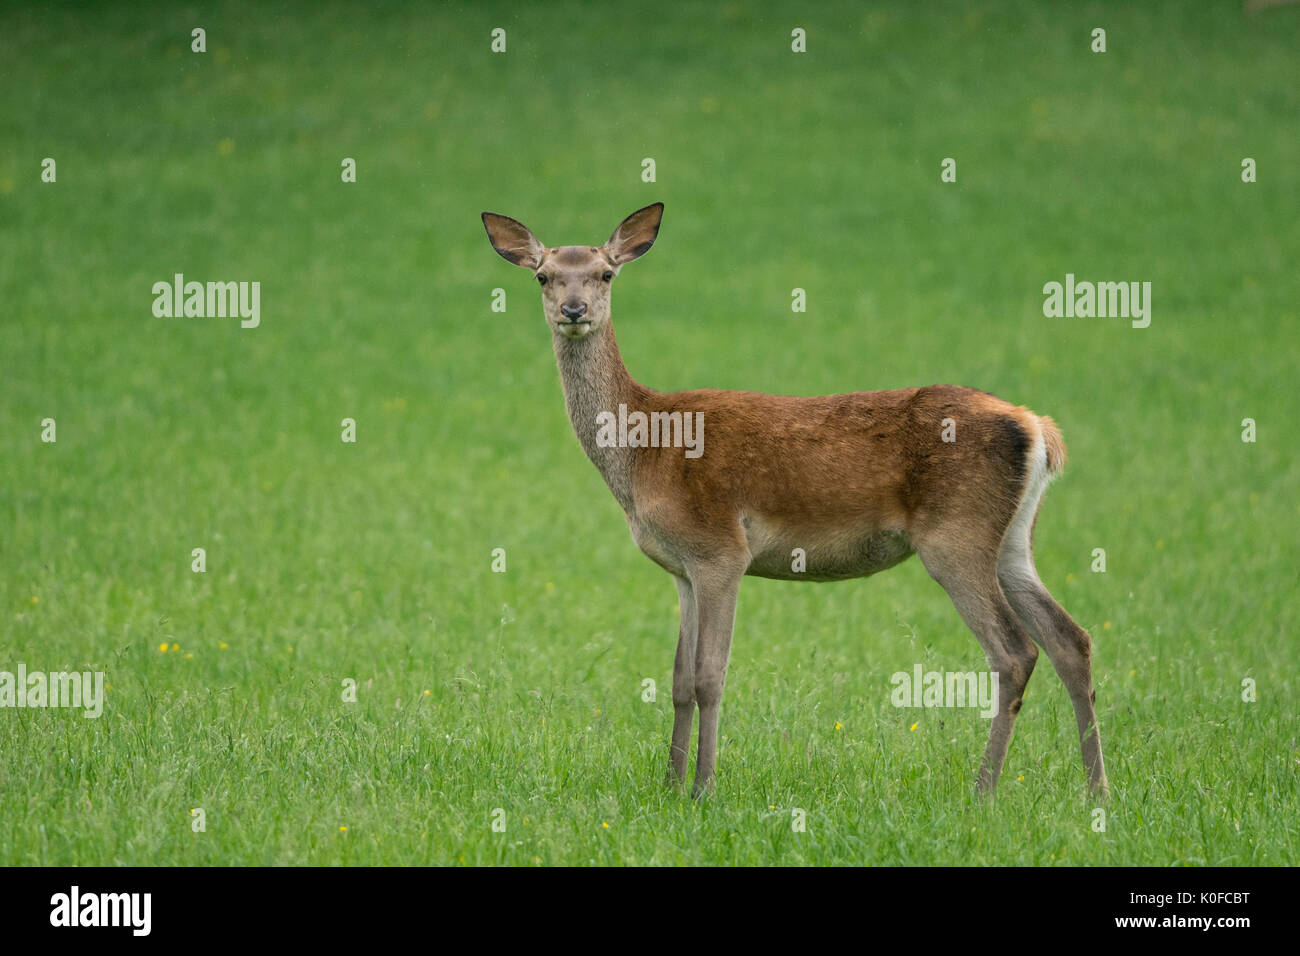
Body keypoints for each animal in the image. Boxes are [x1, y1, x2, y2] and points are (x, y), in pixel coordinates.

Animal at [482, 202, 1108, 799]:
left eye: (605, 273)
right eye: (543, 276)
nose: (574, 310)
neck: (643, 454)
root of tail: (1038, 428)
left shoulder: (720, 550)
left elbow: (710, 675)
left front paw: (703, 789)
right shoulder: (681, 567)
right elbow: (679, 680)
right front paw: (668, 784)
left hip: (956, 536)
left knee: (1015, 651)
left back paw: (984, 791)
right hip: (1013, 539)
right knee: (1071, 640)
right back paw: (1096, 791)